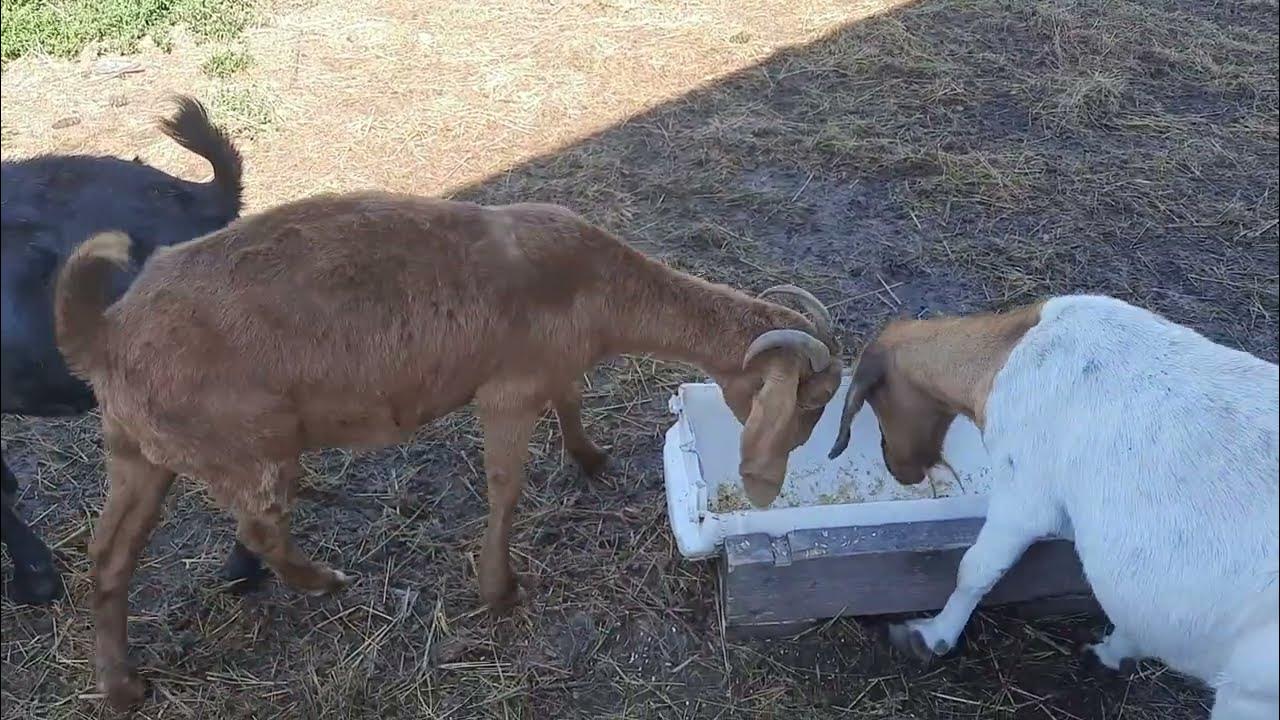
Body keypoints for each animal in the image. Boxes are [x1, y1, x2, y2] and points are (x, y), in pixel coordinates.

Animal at [54, 192, 844, 709]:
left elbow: (572, 399)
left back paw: (121, 685)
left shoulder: (550, 370)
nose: (784, 473)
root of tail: (103, 336)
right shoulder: (507, 391)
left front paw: (590, 458)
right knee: (256, 525)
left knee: (108, 556)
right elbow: (505, 486)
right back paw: (323, 581)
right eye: (809, 400)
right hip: (248, 445)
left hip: (139, 450)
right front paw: (500, 589)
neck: (592, 283)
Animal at [828, 295, 1279, 719]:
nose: (899, 470)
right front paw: (1111, 653)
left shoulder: (1024, 493)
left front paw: (929, 636)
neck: (1006, 355)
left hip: (1249, 692)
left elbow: (975, 570)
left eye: (877, 407)